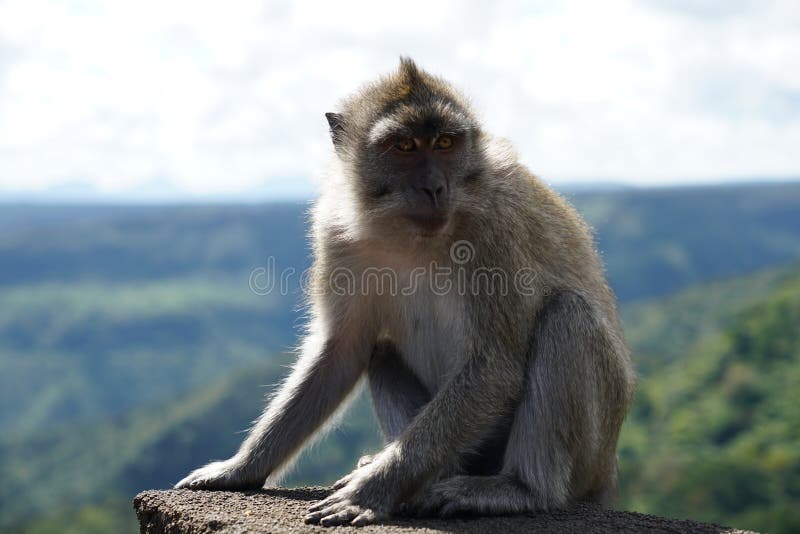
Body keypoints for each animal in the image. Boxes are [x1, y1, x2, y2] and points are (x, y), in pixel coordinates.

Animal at [175, 57, 635, 527]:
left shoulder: (496, 230)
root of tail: (608, 474)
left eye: (445, 143)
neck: (410, 235)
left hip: (588, 458)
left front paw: (370, 492)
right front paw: (240, 468)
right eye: (405, 147)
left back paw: (519, 488)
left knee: (568, 316)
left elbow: (495, 366)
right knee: (381, 351)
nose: (434, 188)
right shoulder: (337, 236)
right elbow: (342, 350)